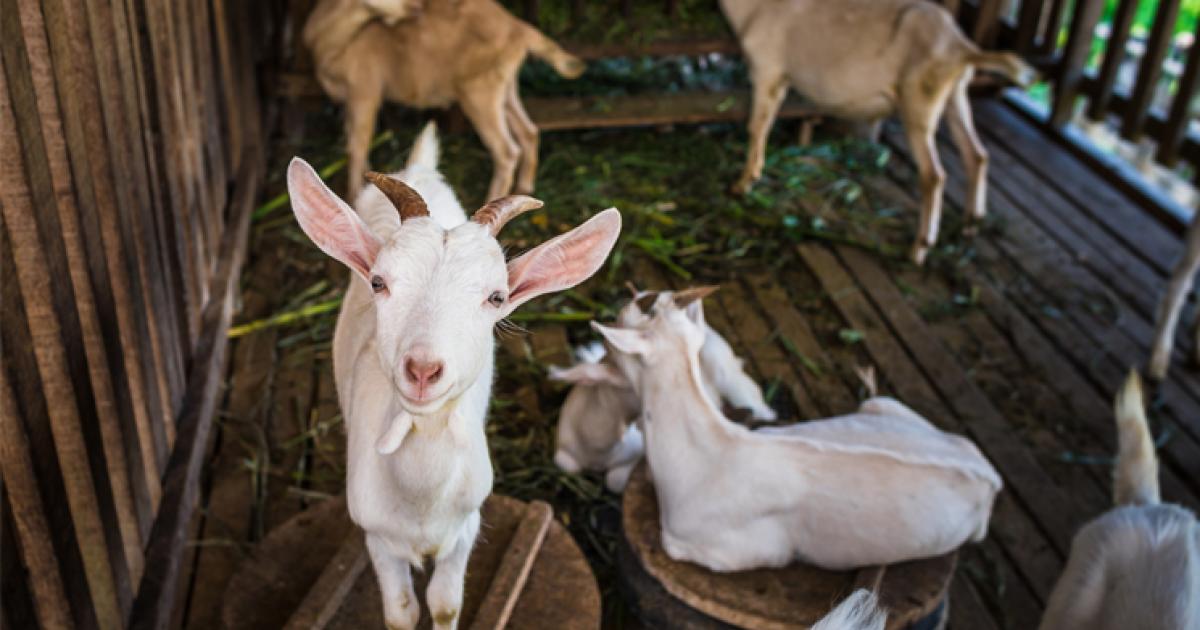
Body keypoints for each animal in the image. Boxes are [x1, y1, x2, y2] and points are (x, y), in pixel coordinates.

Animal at [286, 124, 621, 629]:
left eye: (497, 297)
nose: (423, 370)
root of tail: (420, 168)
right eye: (378, 282)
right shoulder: (378, 539)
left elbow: (445, 604)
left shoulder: (466, 527)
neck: (422, 498)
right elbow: (401, 613)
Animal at [303, 0, 585, 199]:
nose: (417, 7)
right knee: (529, 131)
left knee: (506, 150)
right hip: (505, 87)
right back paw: (524, 188)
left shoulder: (364, 91)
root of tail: (520, 29)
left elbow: (357, 145)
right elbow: (353, 141)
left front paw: (352, 195)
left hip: (479, 92)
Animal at [593, 292, 1000, 572]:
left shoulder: (730, 548)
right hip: (884, 404)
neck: (705, 453)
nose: (625, 302)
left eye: (629, 321)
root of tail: (989, 473)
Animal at [720, 0, 1035, 264]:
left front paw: (744, 183)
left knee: (934, 175)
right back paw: (971, 224)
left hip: (919, 102)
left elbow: (757, 127)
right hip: (956, 95)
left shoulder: (768, 71)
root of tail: (963, 49)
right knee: (977, 154)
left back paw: (919, 248)